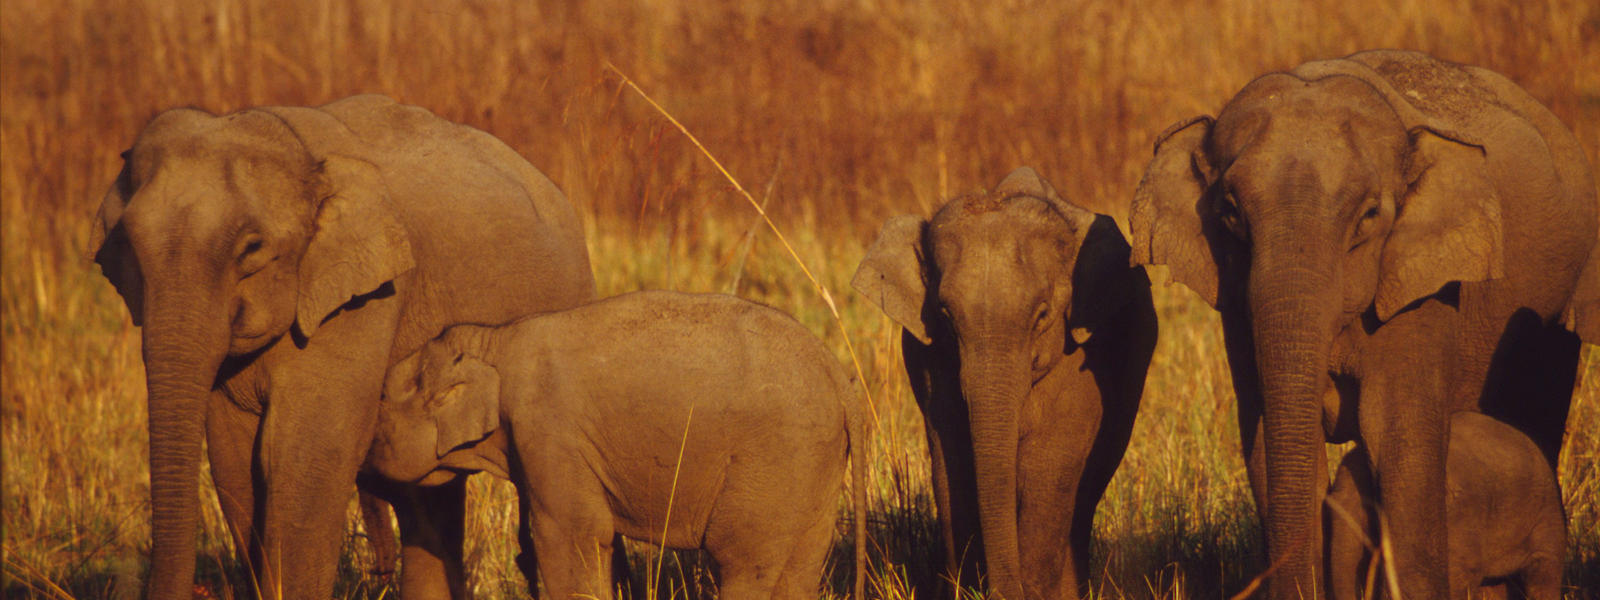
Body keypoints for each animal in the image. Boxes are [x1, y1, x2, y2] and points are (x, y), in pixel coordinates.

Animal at [89, 95, 597, 599]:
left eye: (251, 248)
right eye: (128, 245)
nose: (378, 569)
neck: (293, 144)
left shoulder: (366, 297)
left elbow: (302, 453)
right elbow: (235, 457)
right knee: (429, 494)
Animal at [367, 290, 870, 600]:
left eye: (380, 403)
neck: (495, 337)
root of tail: (835, 370)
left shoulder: (547, 430)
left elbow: (573, 534)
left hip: (775, 460)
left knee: (742, 561)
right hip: (812, 470)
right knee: (801, 566)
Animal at [853, 167, 1157, 599]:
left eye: (1042, 314)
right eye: (945, 314)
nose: (999, 589)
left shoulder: (1082, 355)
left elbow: (1048, 465)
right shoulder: (928, 359)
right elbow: (952, 459)